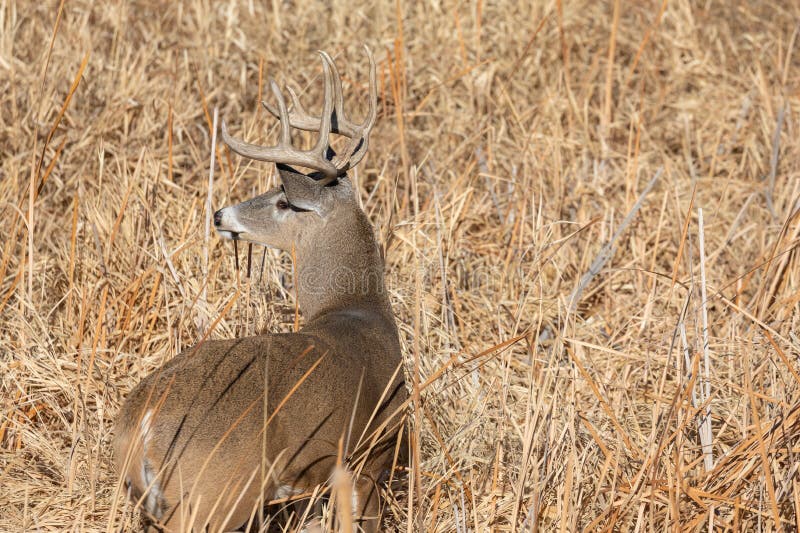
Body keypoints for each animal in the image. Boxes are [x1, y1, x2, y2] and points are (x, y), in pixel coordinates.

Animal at [113, 47, 408, 532]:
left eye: (283, 200)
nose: (220, 214)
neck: (357, 308)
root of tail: (144, 423)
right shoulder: (370, 455)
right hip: (216, 495)